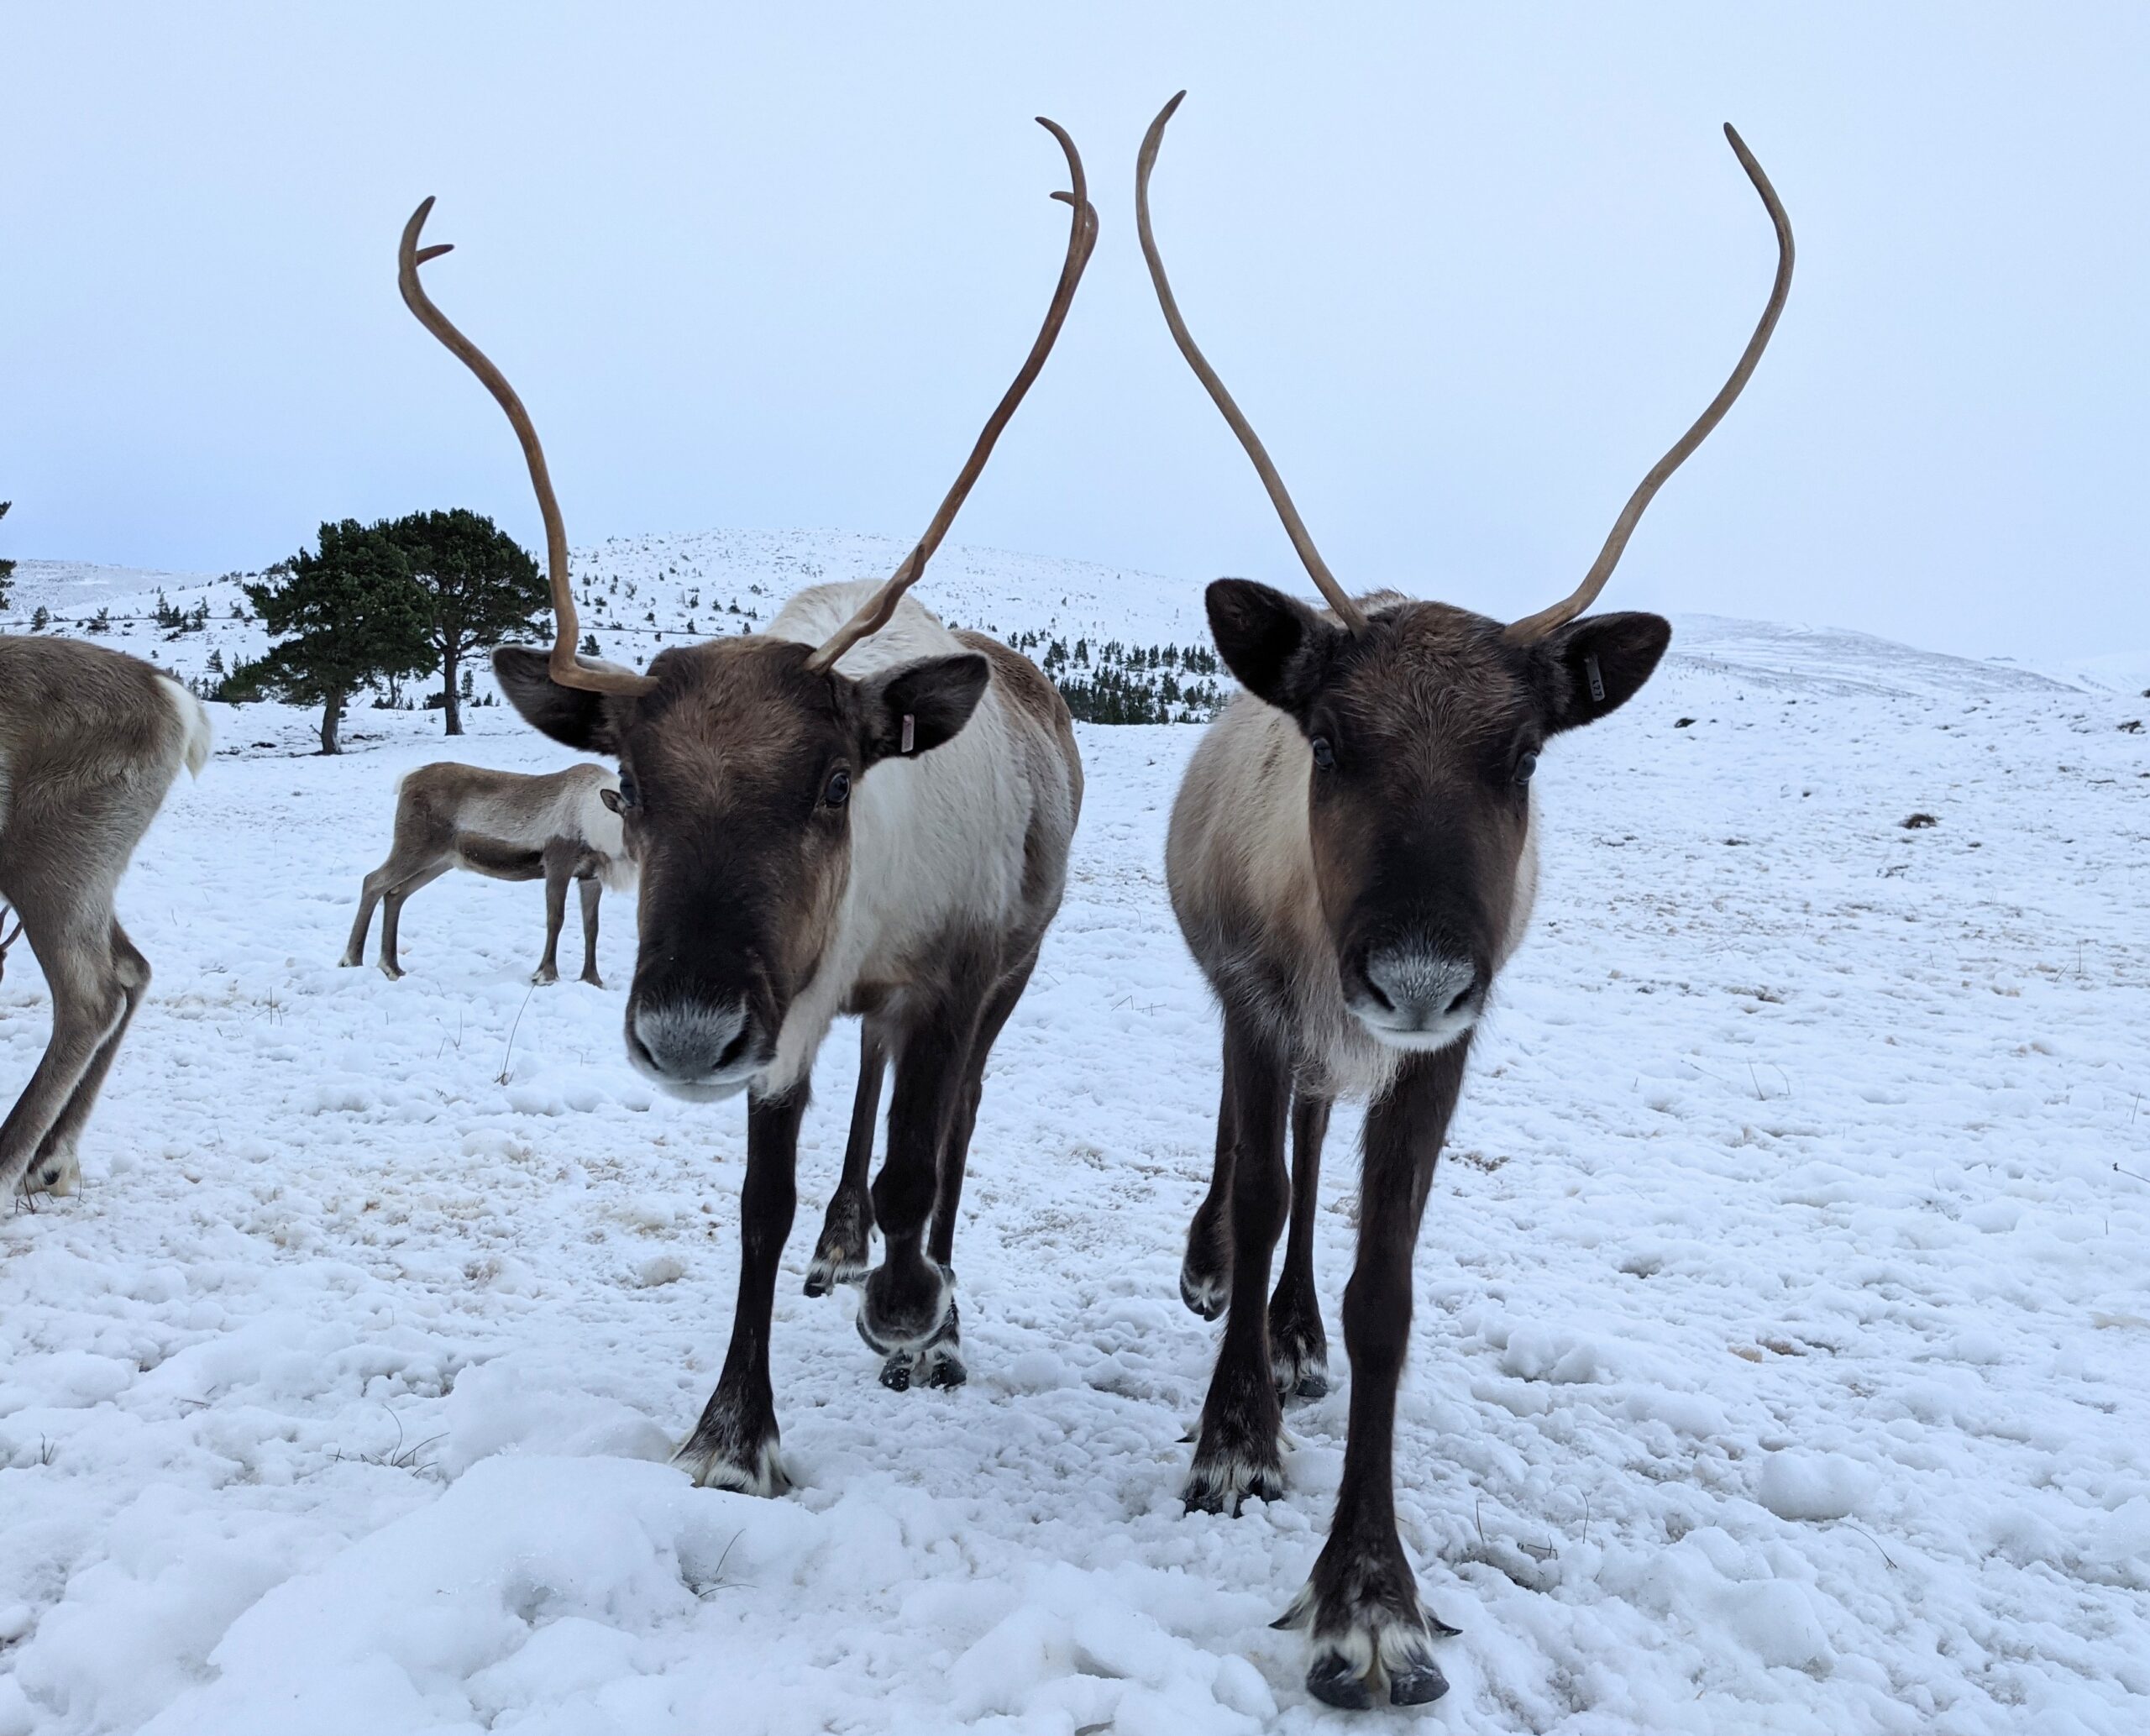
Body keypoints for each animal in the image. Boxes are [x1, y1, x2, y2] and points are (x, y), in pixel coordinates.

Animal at [1, 634, 213, 1200]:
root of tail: (169, 697)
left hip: (48, 859)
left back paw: (9, 1167)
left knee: (91, 998)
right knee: (133, 967)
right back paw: (49, 1159)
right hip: (92, 871)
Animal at [340, 761, 633, 985]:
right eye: (629, 814)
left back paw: (391, 967)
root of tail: (407, 778)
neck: (597, 828)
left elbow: (591, 927)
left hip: (439, 861)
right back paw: (351, 960)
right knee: (373, 881)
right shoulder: (557, 864)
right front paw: (545, 975)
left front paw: (592, 979)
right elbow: (556, 919)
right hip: (415, 846)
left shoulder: (590, 876)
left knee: (396, 893)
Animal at [395, 113, 1094, 1495]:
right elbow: (761, 1207)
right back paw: (844, 1246)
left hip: (1015, 963)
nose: (682, 1033)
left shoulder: (953, 970)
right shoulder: (797, 1004)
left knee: (952, 1124)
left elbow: (924, 1158)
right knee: (873, 1102)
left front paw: (912, 1312)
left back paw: (923, 1301)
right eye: (626, 785)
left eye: (832, 780)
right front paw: (733, 1429)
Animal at [1135, 94, 1793, 1708]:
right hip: (1265, 1015)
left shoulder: (1442, 1056)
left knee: (1314, 1148)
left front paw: (1371, 1590)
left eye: (1528, 750)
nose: (1420, 968)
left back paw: (1294, 1334)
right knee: (1255, 1154)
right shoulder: (1263, 1000)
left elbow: (1389, 1287)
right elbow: (1259, 1191)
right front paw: (1232, 1440)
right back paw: (1228, 1294)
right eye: (1328, 736)